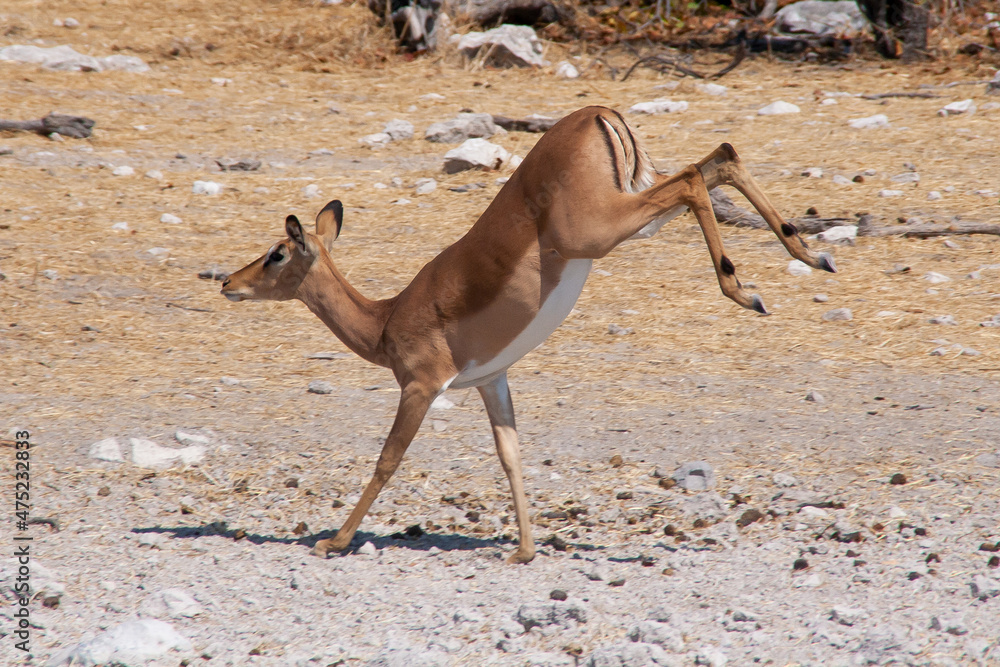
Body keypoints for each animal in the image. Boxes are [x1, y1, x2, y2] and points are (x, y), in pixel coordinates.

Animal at [221, 106, 835, 564]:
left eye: (277, 253)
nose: (227, 282)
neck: (386, 320)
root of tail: (598, 113)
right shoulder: (492, 381)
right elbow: (511, 455)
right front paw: (523, 550)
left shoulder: (421, 386)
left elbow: (387, 460)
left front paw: (333, 541)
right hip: (631, 206)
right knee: (719, 160)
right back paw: (809, 254)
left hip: (600, 229)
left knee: (690, 180)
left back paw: (746, 289)